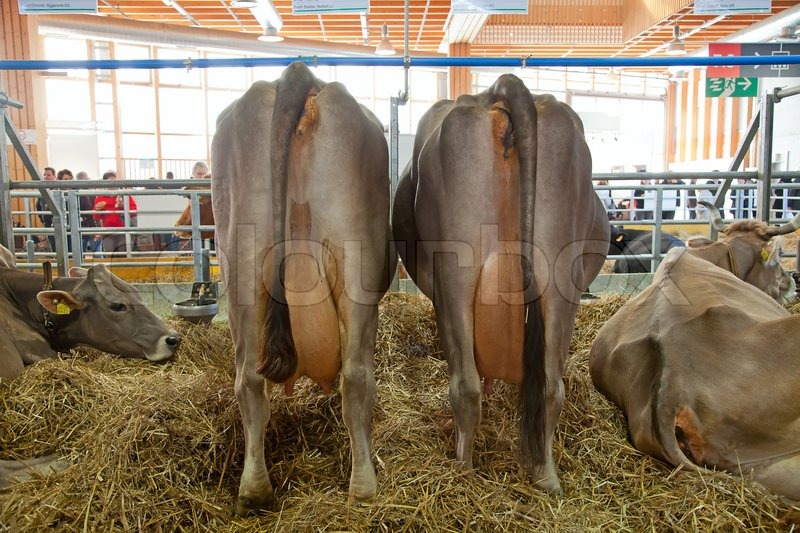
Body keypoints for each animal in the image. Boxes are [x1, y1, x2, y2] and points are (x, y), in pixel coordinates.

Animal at [211, 62, 395, 516]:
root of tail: (296, 74)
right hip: (354, 268)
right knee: (357, 376)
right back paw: (364, 487)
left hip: (241, 268)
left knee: (248, 379)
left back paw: (254, 492)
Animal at [391, 74, 610, 494]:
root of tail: (502, 88)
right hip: (560, 279)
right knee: (550, 388)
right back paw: (546, 477)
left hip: (454, 277)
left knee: (465, 385)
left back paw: (462, 471)